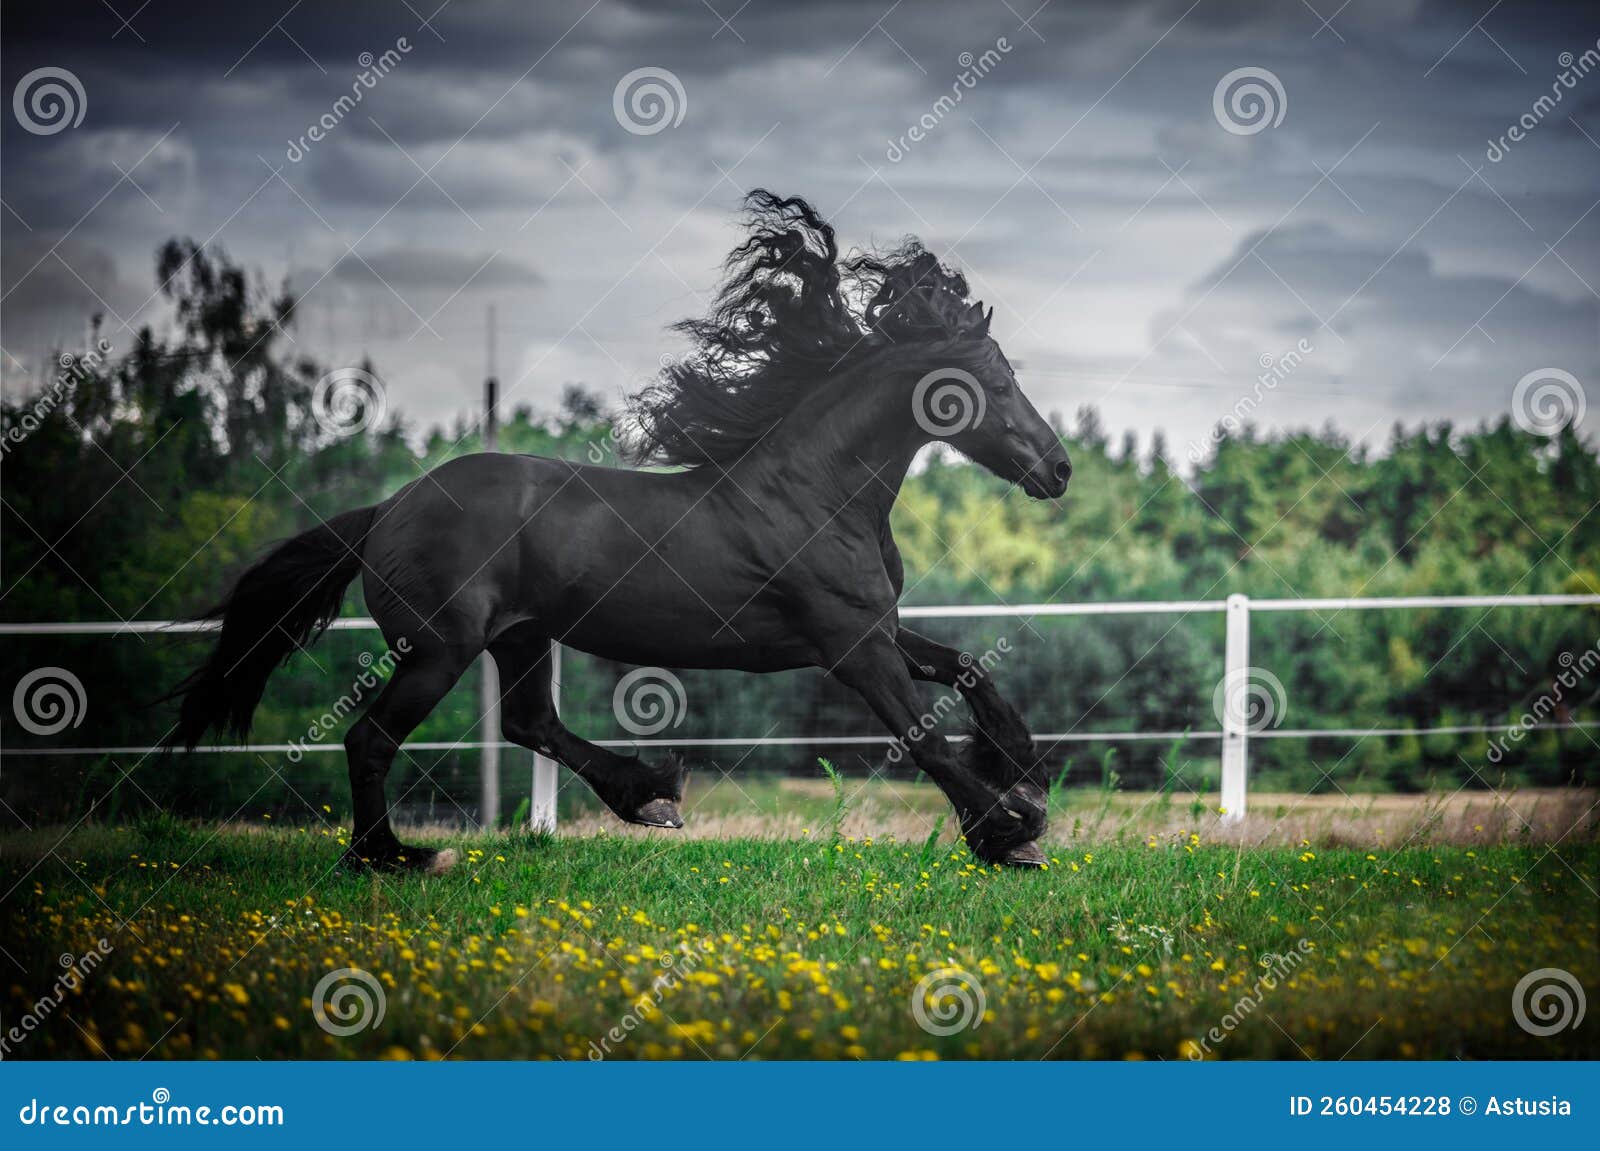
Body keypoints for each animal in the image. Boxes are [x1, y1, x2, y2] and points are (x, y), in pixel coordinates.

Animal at [168, 191, 1072, 873]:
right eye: (997, 381)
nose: (1059, 469)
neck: (816, 494)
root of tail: (388, 510)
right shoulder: (851, 646)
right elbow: (923, 737)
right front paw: (1011, 832)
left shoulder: (871, 630)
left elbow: (966, 671)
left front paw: (1023, 773)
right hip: (437, 649)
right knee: (372, 738)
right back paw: (395, 856)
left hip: (520, 637)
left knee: (527, 723)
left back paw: (650, 795)